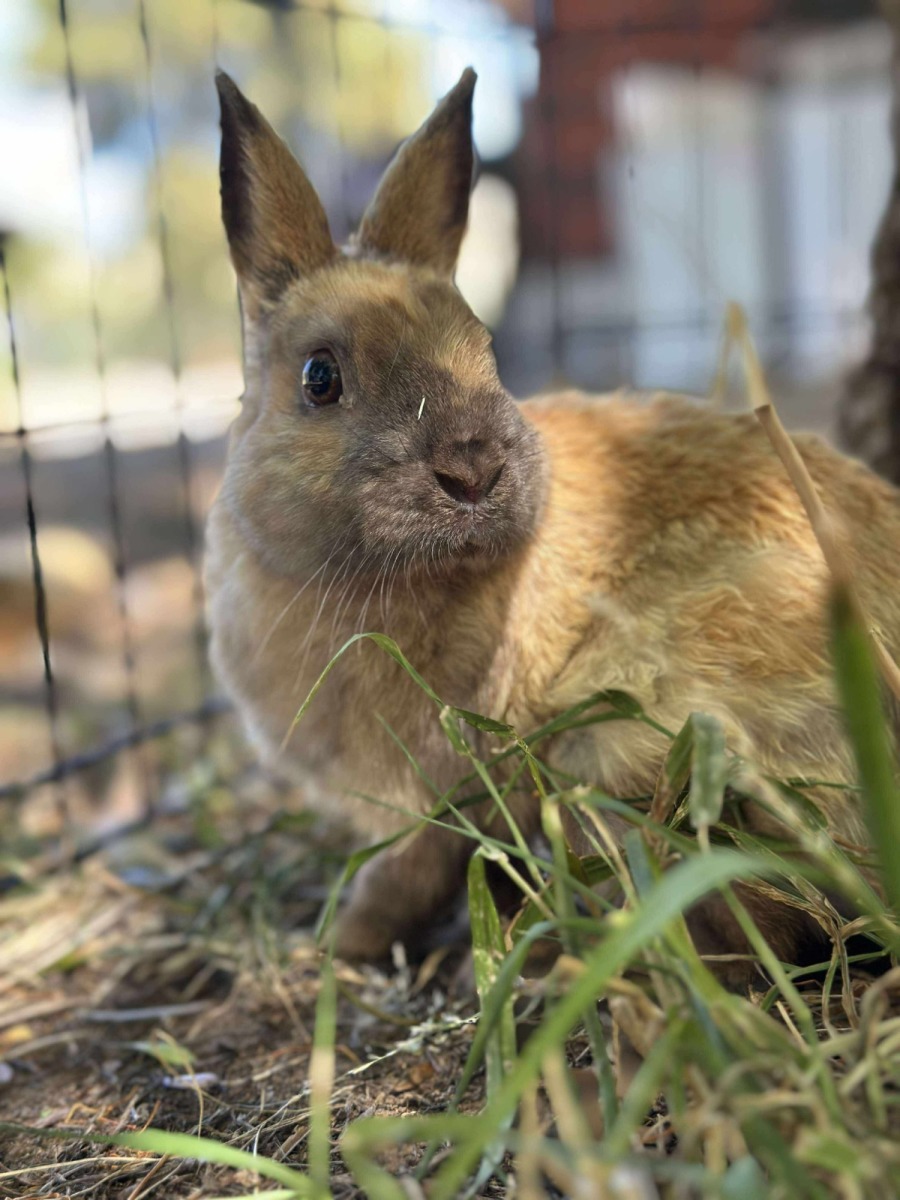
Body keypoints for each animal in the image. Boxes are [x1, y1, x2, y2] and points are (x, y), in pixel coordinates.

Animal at [204, 68, 900, 988]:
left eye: (484, 346)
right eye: (321, 378)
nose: (472, 471)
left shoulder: (448, 789)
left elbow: (418, 870)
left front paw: (340, 944)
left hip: (620, 744)